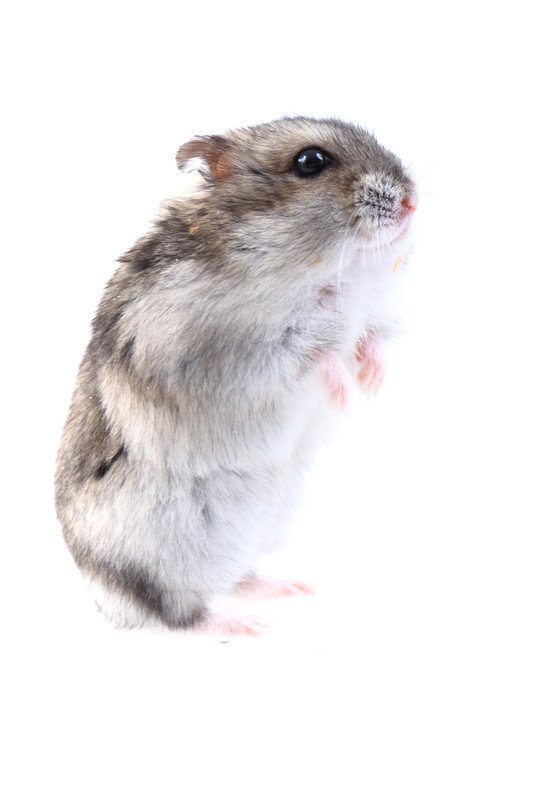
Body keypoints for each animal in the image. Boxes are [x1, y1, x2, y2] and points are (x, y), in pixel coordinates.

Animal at [55, 116, 417, 635]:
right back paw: (241, 625)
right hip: (158, 555)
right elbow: (312, 354)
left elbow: (367, 341)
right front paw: (348, 393)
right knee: (176, 611)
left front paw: (373, 382)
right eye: (311, 161)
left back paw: (290, 588)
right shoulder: (228, 358)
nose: (412, 201)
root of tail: (101, 594)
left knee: (239, 577)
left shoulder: (369, 317)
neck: (320, 274)